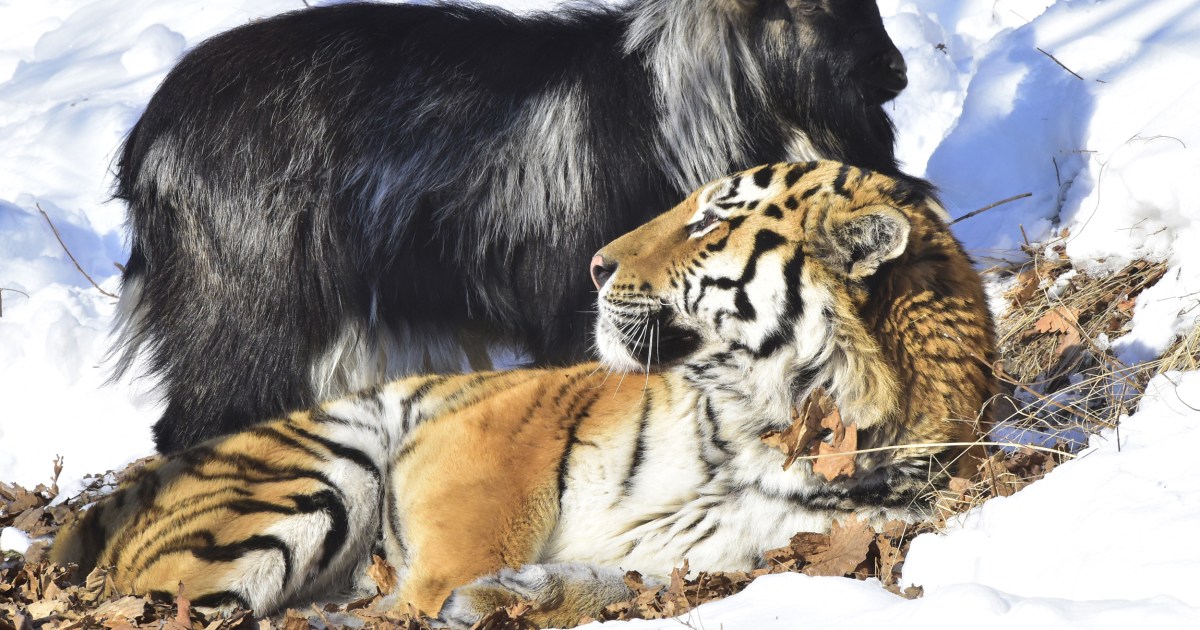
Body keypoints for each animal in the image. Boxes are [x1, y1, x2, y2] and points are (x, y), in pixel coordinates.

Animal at [52, 161, 997, 628]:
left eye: (710, 221)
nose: (596, 264)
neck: (764, 422)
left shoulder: (760, 549)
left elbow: (621, 584)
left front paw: (511, 598)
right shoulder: (498, 428)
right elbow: (465, 542)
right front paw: (435, 604)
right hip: (311, 471)